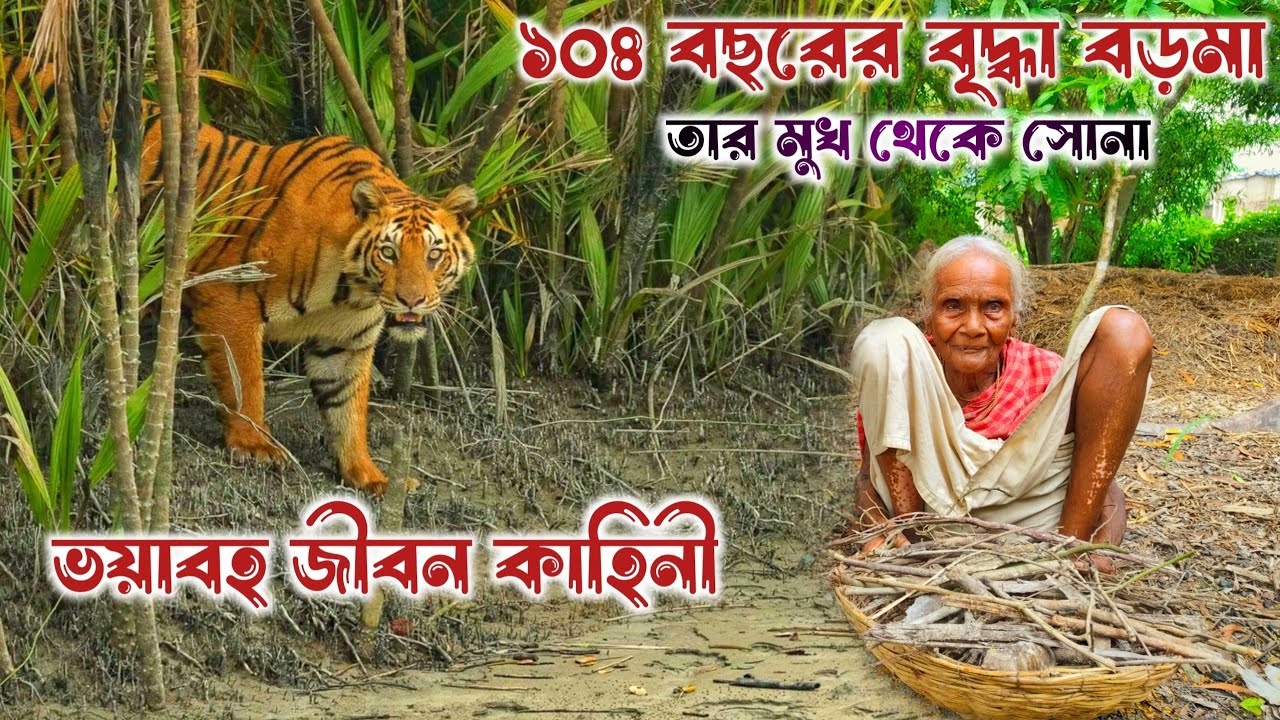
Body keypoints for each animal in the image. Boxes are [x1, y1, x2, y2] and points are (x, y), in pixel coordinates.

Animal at [4, 55, 477, 494]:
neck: (352, 291)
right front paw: (254, 446)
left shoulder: (346, 342)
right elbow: (245, 380)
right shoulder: (228, 295)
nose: (413, 300)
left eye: (434, 255)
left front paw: (369, 476)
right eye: (389, 253)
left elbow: (348, 410)